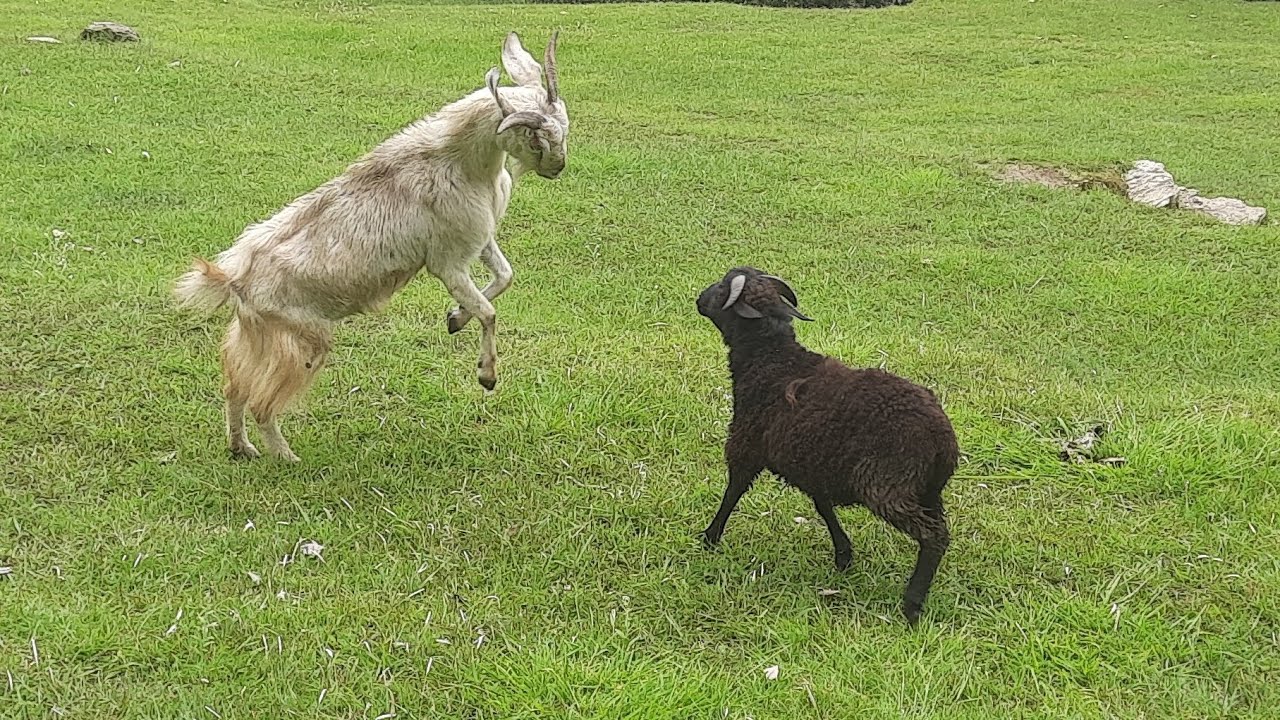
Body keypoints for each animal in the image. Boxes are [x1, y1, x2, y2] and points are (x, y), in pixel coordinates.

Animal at [174, 31, 568, 461]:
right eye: (534, 135)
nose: (558, 167)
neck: (462, 162)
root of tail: (234, 280)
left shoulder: (479, 241)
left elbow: (505, 277)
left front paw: (454, 318)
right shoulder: (447, 261)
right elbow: (489, 311)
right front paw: (486, 374)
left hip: (254, 334)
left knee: (234, 386)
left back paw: (241, 446)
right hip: (302, 338)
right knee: (262, 402)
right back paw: (286, 457)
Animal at [695, 267, 959, 624]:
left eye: (724, 288)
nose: (698, 299)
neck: (772, 361)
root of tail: (942, 437)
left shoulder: (746, 445)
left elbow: (732, 492)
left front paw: (710, 537)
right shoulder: (812, 460)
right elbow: (823, 506)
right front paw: (844, 555)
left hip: (887, 485)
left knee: (933, 536)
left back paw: (912, 604)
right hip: (928, 490)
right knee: (940, 530)